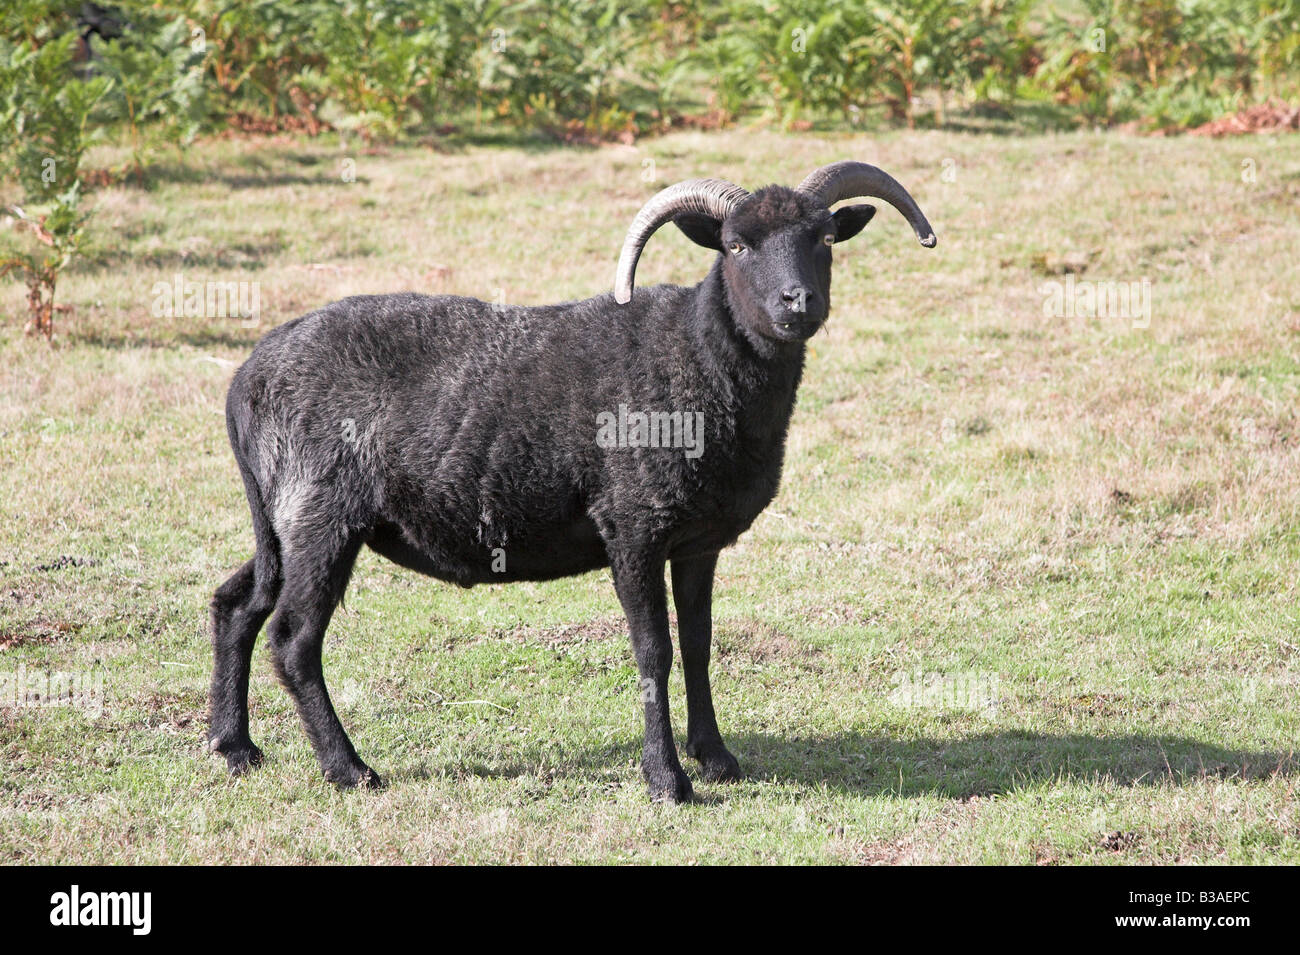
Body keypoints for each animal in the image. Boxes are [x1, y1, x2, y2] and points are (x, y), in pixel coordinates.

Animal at [208, 161, 936, 802]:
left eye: (825, 239)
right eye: (736, 245)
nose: (798, 302)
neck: (696, 360)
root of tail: (245, 379)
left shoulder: (697, 541)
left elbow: (699, 644)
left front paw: (717, 758)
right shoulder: (633, 528)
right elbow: (654, 651)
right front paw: (668, 782)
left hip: (284, 521)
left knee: (236, 603)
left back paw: (233, 746)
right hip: (322, 516)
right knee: (293, 639)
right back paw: (348, 769)